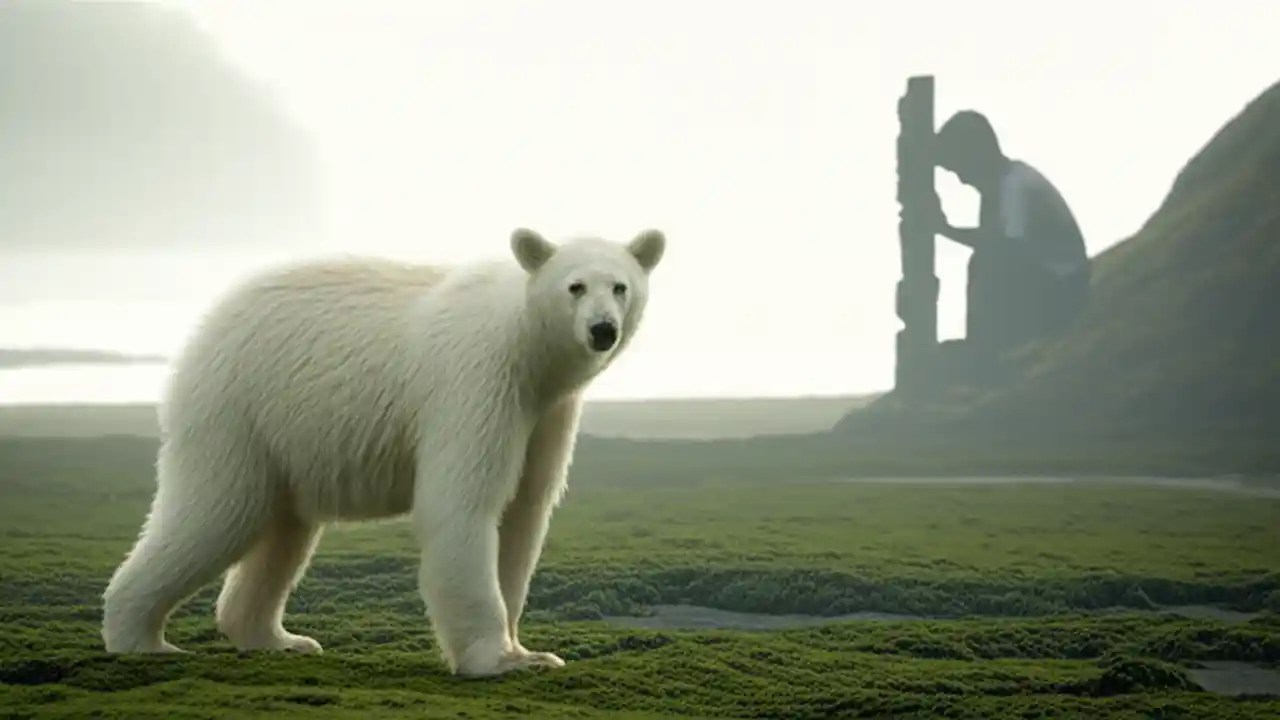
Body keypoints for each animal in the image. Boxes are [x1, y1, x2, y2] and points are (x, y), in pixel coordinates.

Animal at [100, 227, 665, 677]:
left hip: (288, 439)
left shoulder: (547, 413)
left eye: (621, 286)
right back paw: (141, 639)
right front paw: (499, 661)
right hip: (238, 411)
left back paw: (280, 639)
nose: (602, 330)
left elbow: (524, 513)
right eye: (575, 286)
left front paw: (529, 651)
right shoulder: (478, 383)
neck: (525, 345)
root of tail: (204, 331)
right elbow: (464, 505)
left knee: (283, 534)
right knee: (214, 513)